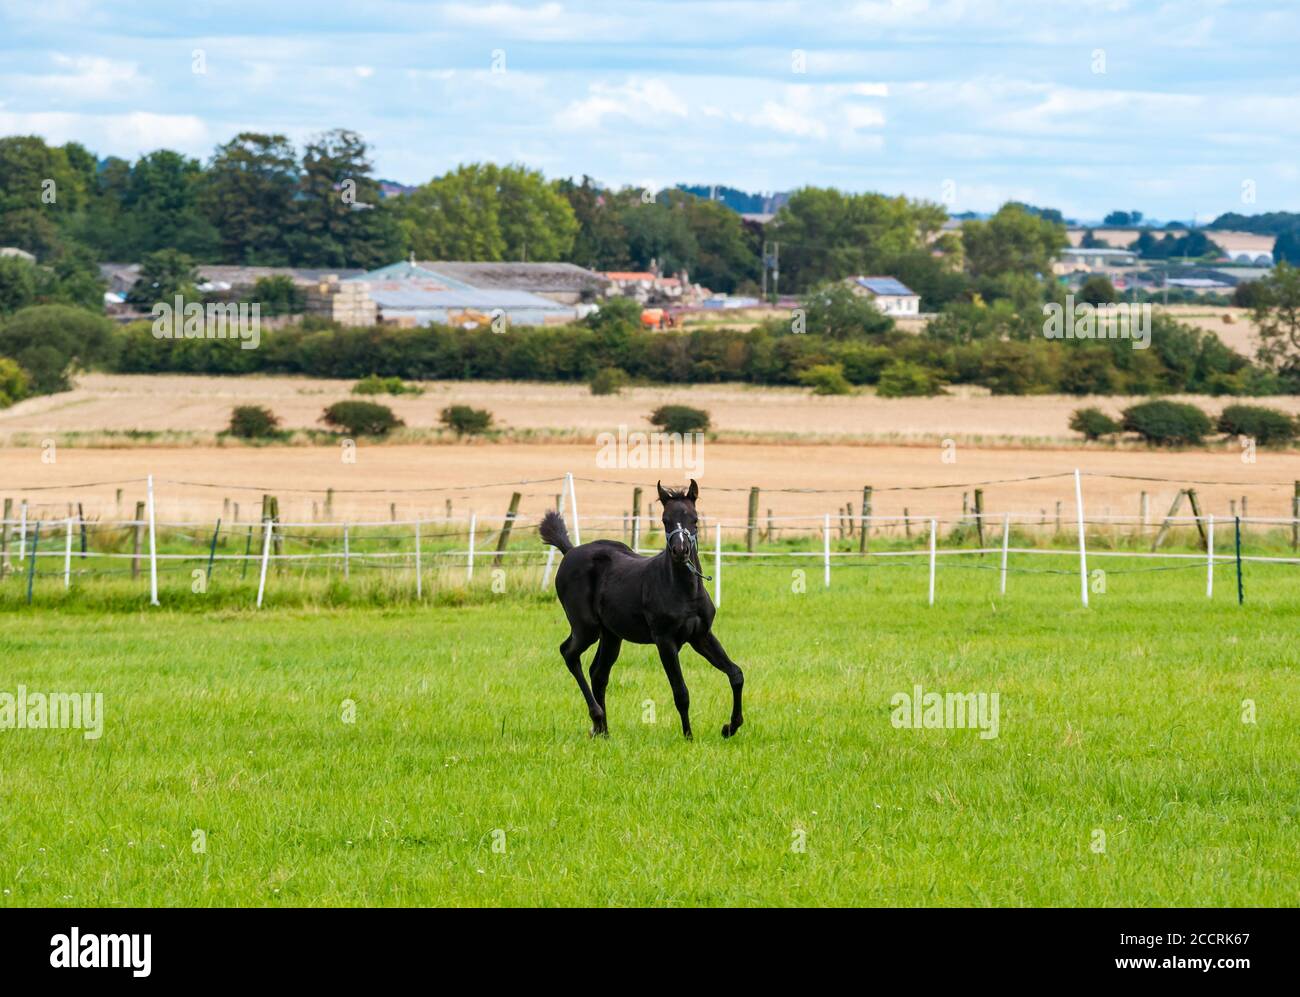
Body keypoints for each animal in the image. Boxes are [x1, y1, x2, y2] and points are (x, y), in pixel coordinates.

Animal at [539, 479, 744, 739]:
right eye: (665, 520)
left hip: (611, 634)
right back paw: (597, 717)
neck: (684, 589)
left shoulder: (702, 636)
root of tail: (570, 551)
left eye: (695, 519)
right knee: (569, 653)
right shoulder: (665, 641)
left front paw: (730, 727)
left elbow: (735, 674)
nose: (680, 551)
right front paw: (688, 736)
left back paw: (603, 730)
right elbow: (681, 692)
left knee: (598, 672)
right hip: (586, 628)